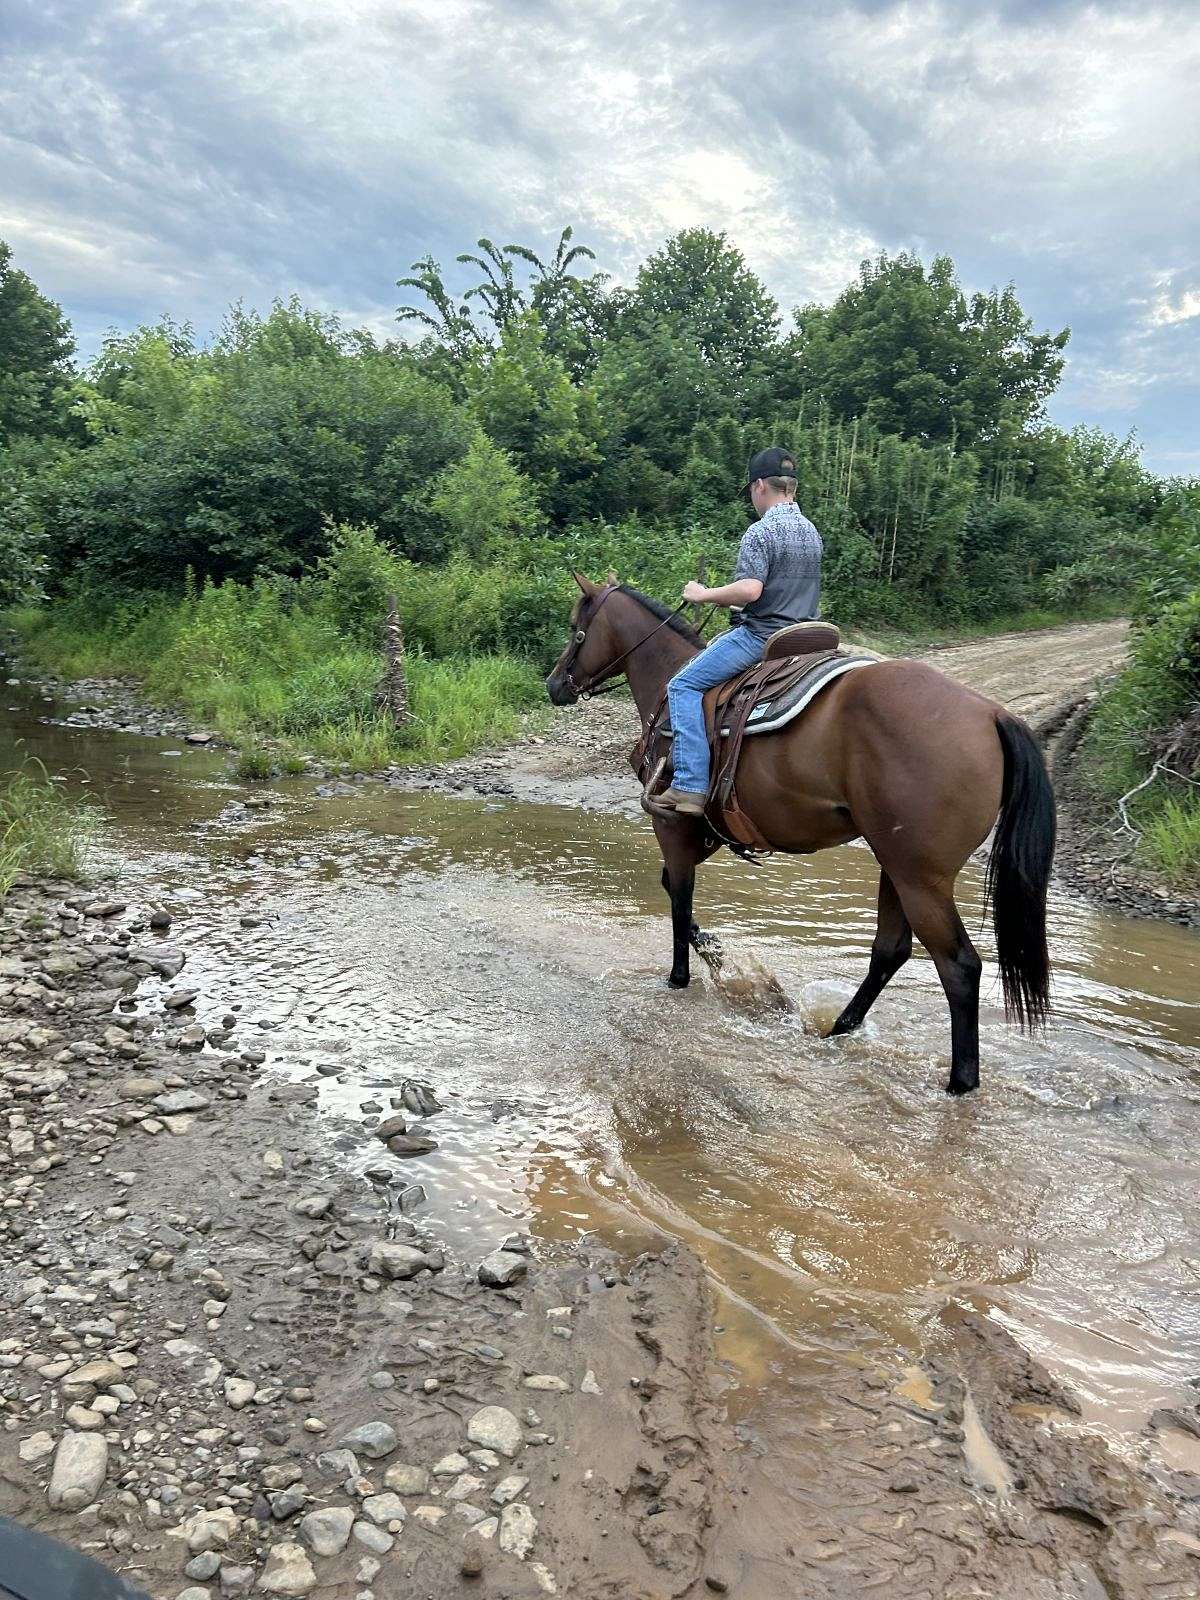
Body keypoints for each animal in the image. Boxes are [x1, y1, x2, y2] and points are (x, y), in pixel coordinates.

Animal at [545, 573, 1056, 1095]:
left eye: (576, 628)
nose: (554, 684)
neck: (670, 685)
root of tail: (992, 715)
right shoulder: (706, 831)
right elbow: (673, 888)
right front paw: (719, 955)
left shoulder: (671, 822)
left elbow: (680, 898)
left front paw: (680, 978)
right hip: (895, 864)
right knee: (890, 950)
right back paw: (840, 1029)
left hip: (921, 878)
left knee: (958, 966)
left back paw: (959, 1081)